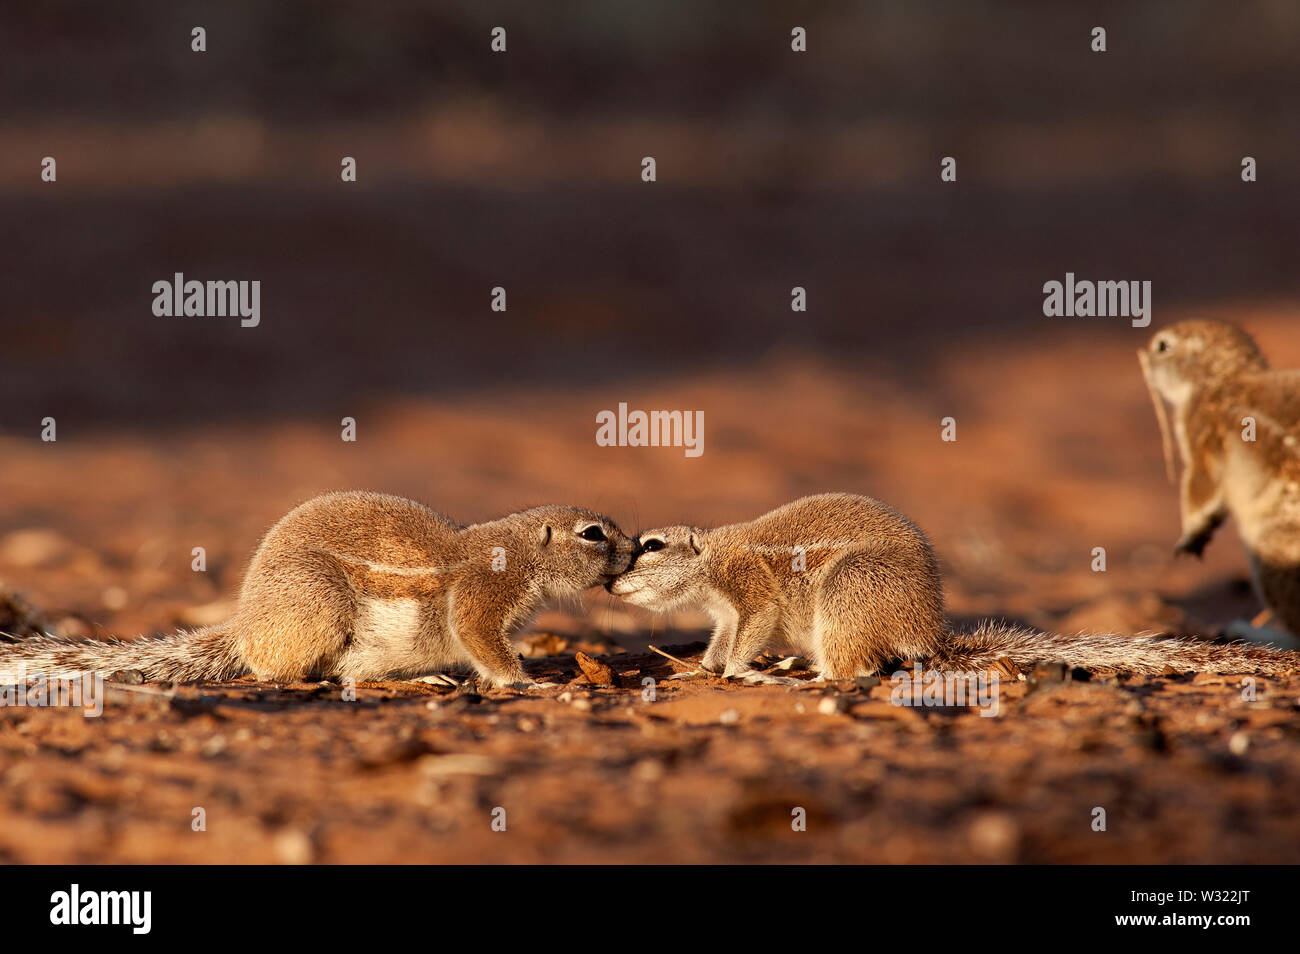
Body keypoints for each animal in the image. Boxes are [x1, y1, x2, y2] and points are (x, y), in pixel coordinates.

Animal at [0, 491, 635, 689]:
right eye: (593, 534)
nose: (634, 552)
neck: (520, 551)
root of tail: (244, 624)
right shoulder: (484, 592)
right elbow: (479, 637)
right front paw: (525, 681)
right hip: (319, 604)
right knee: (278, 670)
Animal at [608, 493, 1300, 679]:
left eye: (651, 546)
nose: (612, 584)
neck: (714, 562)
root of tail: (925, 634)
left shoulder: (753, 593)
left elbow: (749, 632)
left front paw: (734, 671)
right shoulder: (725, 611)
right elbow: (723, 635)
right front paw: (706, 664)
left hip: (847, 590)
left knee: (853, 669)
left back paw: (805, 675)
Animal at [1139, 319, 1300, 637]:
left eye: (1163, 345)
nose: (1144, 359)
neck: (1223, 378)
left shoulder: (1200, 428)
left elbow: (1200, 486)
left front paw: (1189, 538)